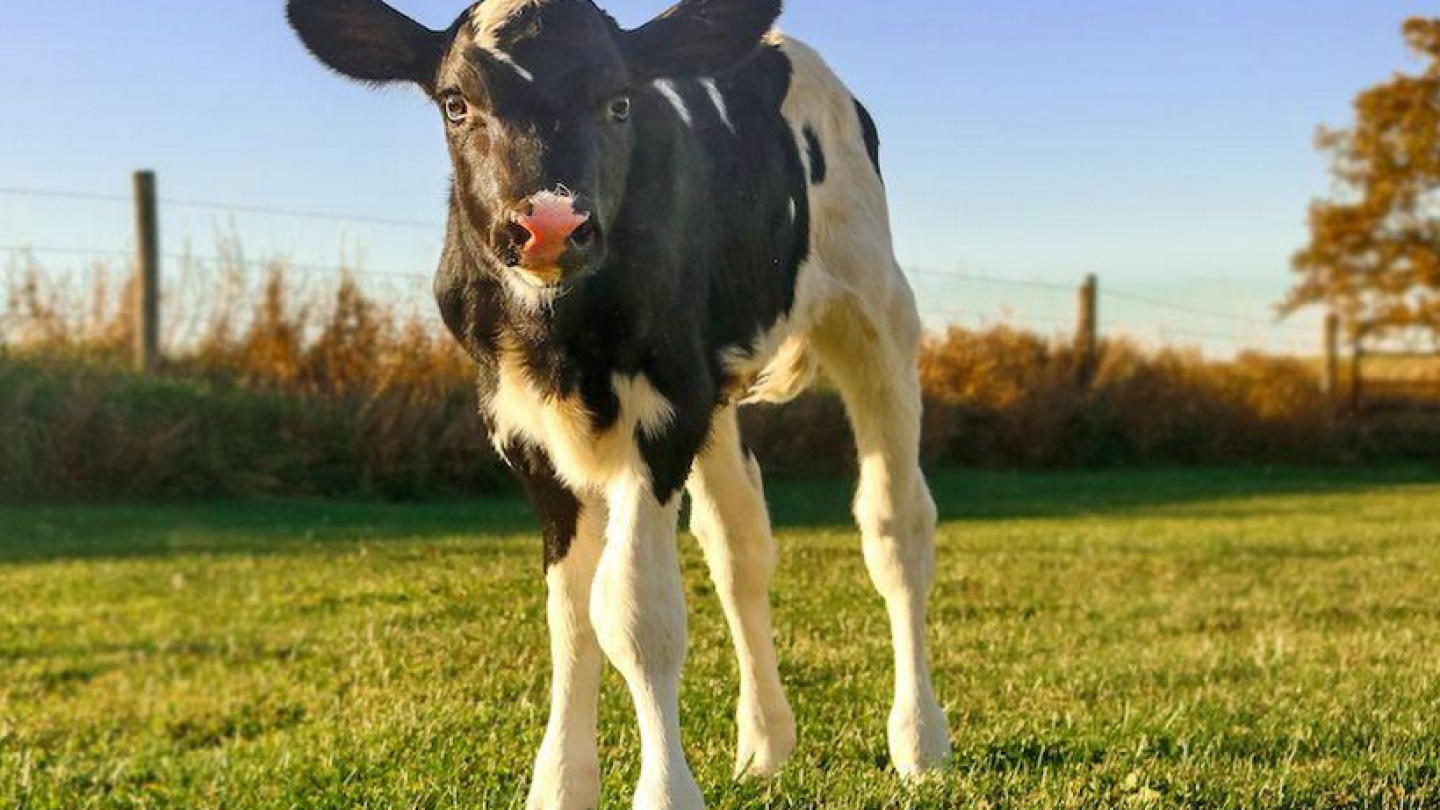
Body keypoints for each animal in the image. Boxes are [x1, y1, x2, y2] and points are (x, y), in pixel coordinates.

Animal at [286, 1, 951, 807]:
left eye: (620, 102)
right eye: (456, 103)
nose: (549, 224)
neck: (562, 342)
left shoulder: (663, 418)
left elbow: (635, 613)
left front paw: (665, 790)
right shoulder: (523, 430)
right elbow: (571, 614)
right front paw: (561, 786)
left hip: (875, 308)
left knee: (895, 525)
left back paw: (920, 740)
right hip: (717, 390)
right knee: (739, 546)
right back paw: (766, 742)